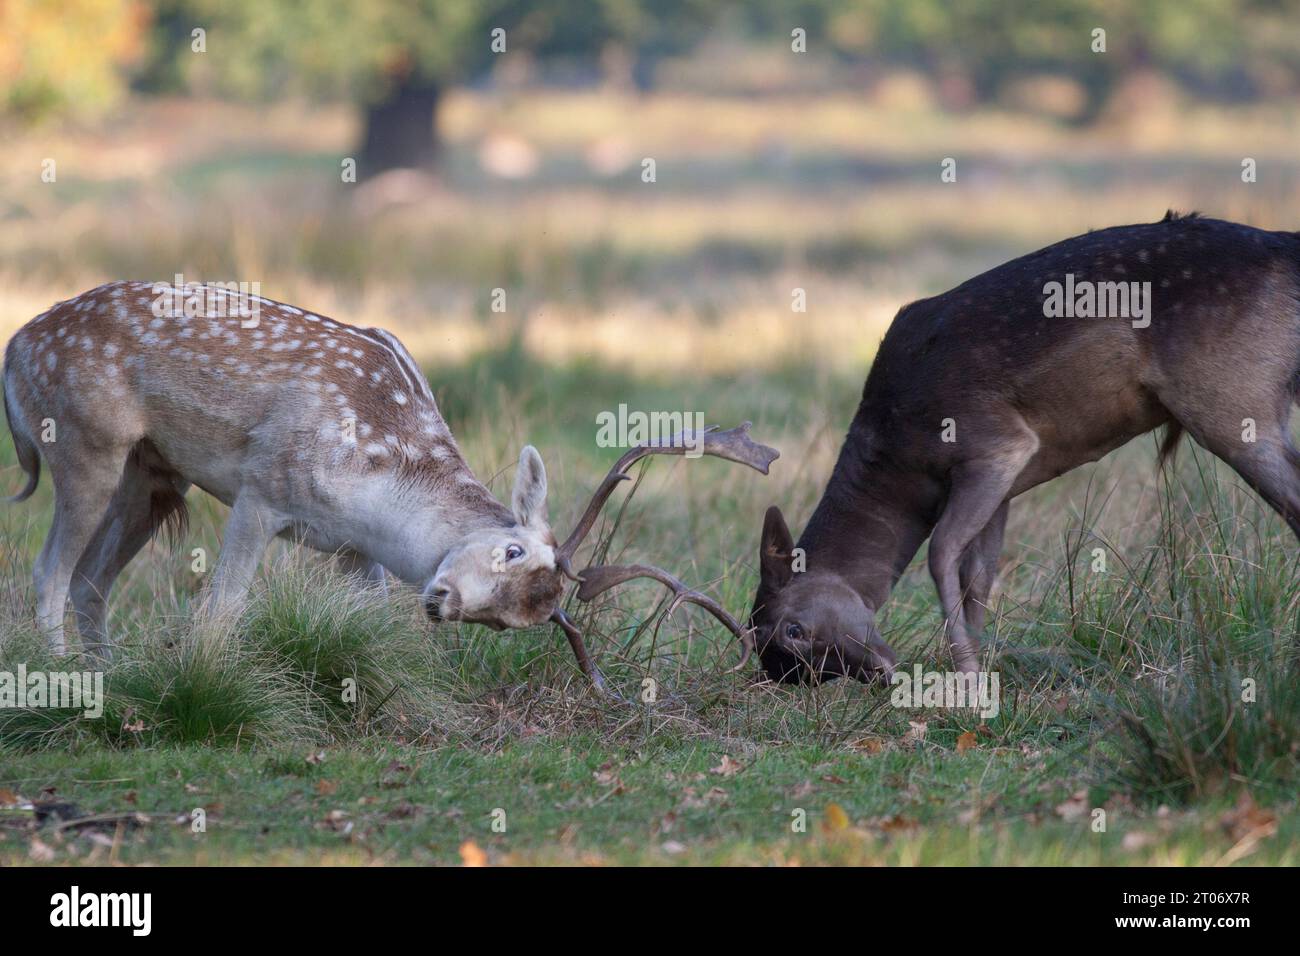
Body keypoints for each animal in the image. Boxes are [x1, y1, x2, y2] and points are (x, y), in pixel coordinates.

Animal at [3, 280, 779, 692]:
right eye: (511, 551)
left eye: (507, 621)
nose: (442, 600)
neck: (373, 484)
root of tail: (16, 348)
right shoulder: (262, 489)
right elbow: (222, 608)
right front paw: (202, 676)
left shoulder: (354, 550)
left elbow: (362, 622)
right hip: (83, 443)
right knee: (48, 569)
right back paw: (62, 678)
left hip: (152, 475)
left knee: (90, 580)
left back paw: (111, 676)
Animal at [749, 212, 1300, 685]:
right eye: (795, 671)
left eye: (794, 631)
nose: (880, 674)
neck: (901, 460)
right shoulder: (1003, 485)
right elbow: (978, 572)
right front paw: (983, 664)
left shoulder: (994, 443)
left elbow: (941, 550)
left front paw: (968, 678)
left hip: (1232, 398)